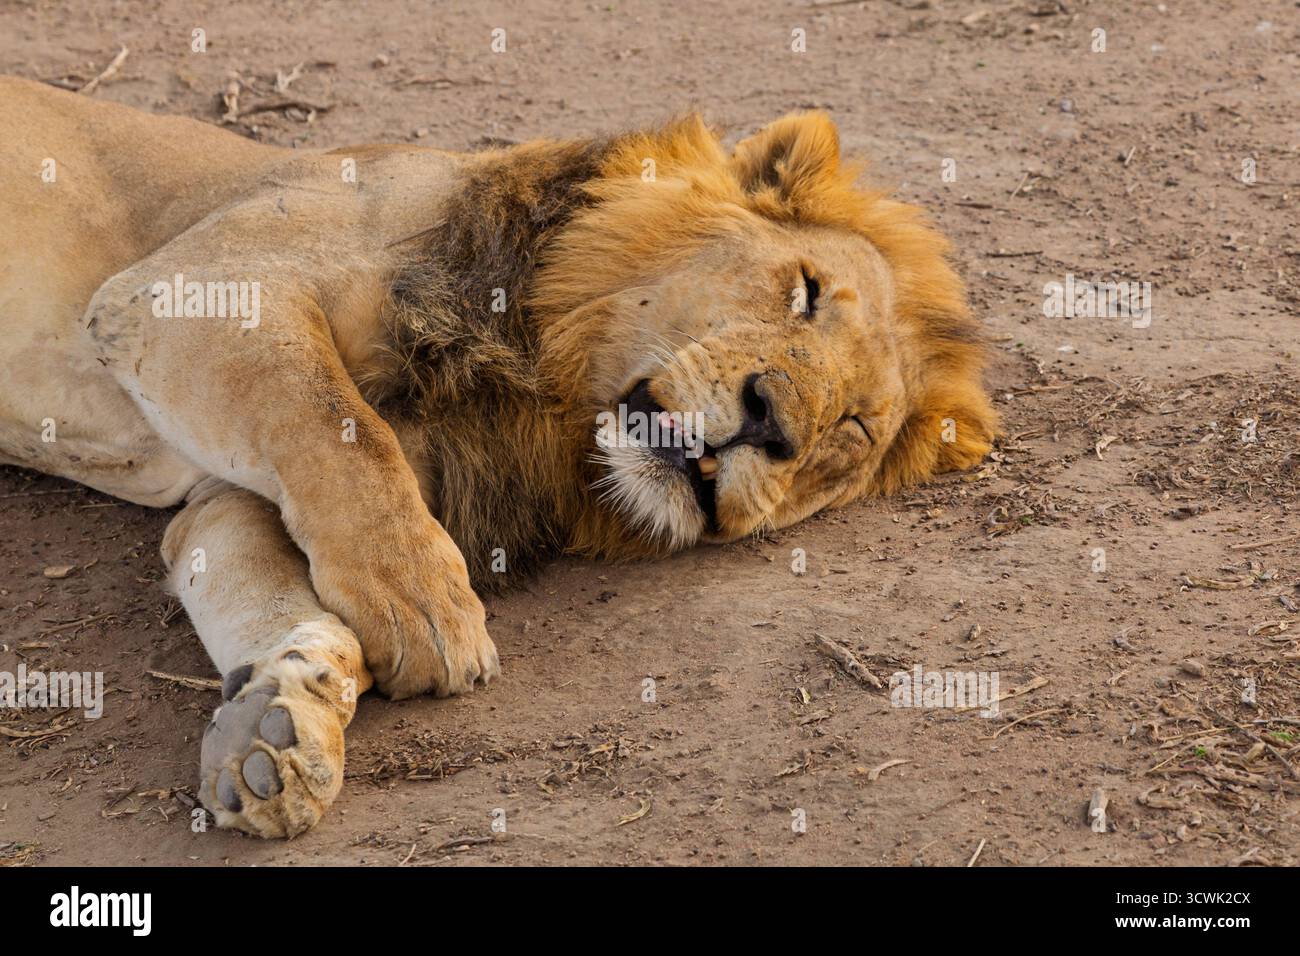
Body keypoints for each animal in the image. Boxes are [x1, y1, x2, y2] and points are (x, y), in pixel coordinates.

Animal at [0, 75, 995, 837]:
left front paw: (277, 726)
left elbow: (273, 563)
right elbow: (338, 431)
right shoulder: (192, 287)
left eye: (851, 430)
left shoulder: (233, 491)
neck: (544, 391)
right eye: (806, 292)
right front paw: (428, 609)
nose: (771, 422)